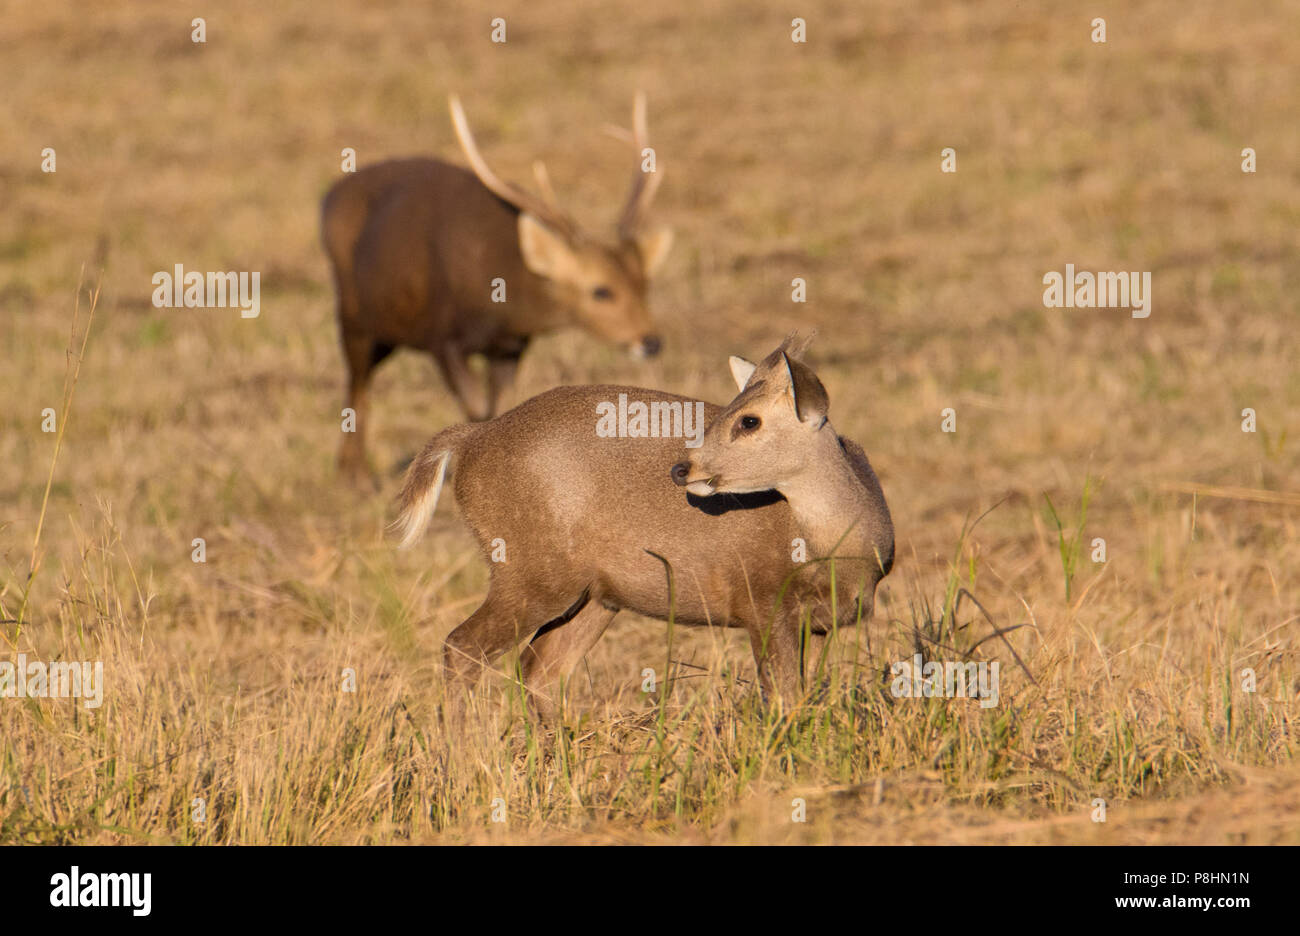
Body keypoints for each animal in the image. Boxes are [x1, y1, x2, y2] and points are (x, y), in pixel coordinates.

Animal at [321, 94, 674, 483]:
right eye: (601, 290)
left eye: (644, 284)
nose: (650, 341)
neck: (501, 303)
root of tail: (329, 195)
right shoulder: (442, 338)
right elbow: (477, 408)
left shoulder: (509, 348)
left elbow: (500, 408)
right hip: (353, 314)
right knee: (357, 383)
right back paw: (354, 476)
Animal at [394, 335, 894, 716]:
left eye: (749, 420)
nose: (682, 468)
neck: (843, 547)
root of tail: (470, 440)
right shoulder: (762, 598)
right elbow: (784, 699)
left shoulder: (815, 623)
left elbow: (803, 694)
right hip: (530, 572)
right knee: (462, 648)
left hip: (595, 594)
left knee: (540, 669)